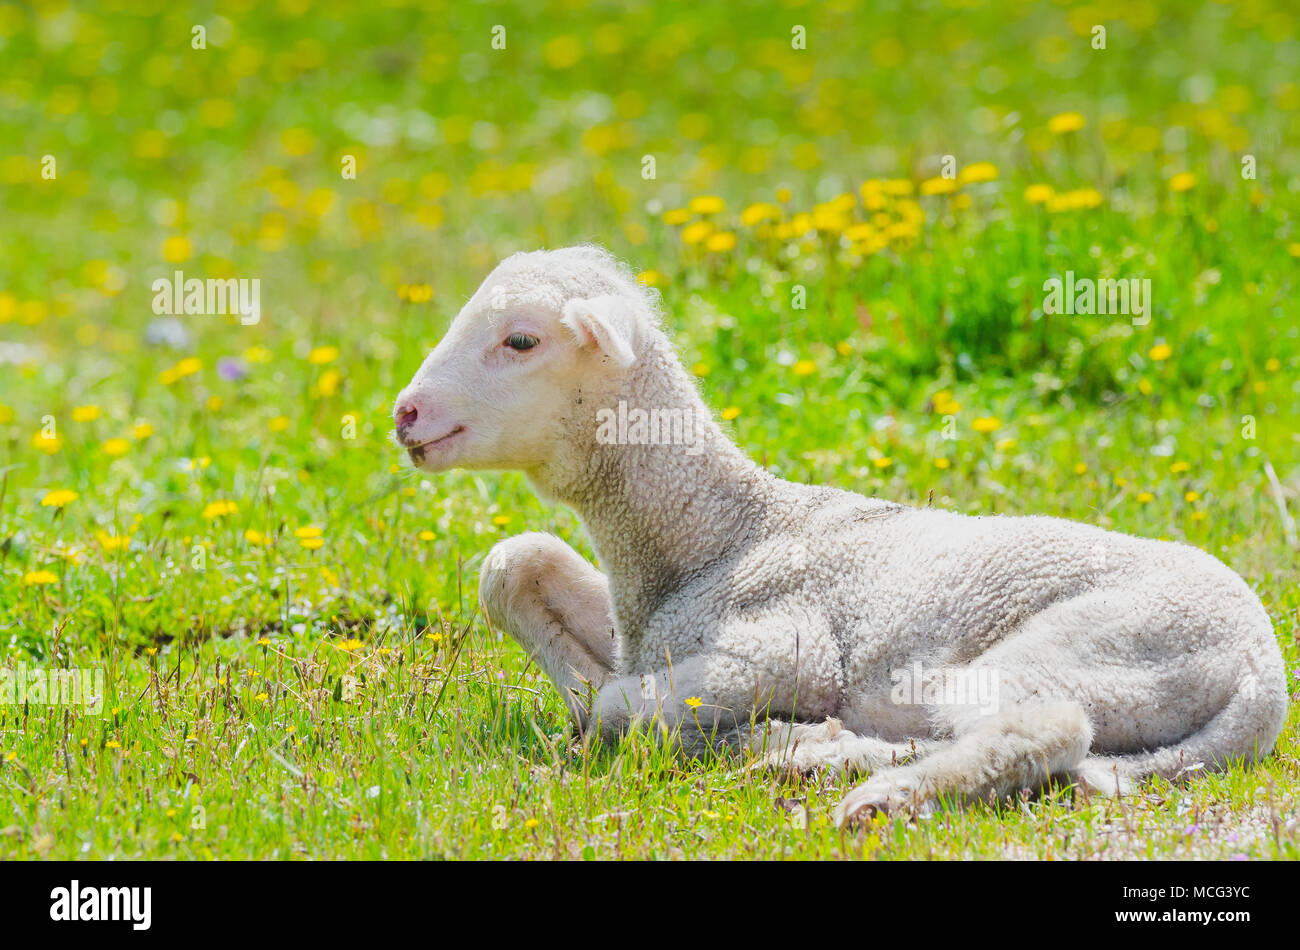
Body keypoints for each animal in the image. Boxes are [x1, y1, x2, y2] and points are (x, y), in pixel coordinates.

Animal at [392, 244, 1289, 825]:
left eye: (521, 340)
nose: (405, 413)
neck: (719, 537)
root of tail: (1263, 679)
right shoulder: (642, 621)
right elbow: (515, 562)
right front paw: (584, 686)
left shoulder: (782, 642)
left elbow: (624, 710)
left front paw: (624, 720)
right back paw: (821, 755)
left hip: (1096, 648)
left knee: (1046, 728)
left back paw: (870, 792)